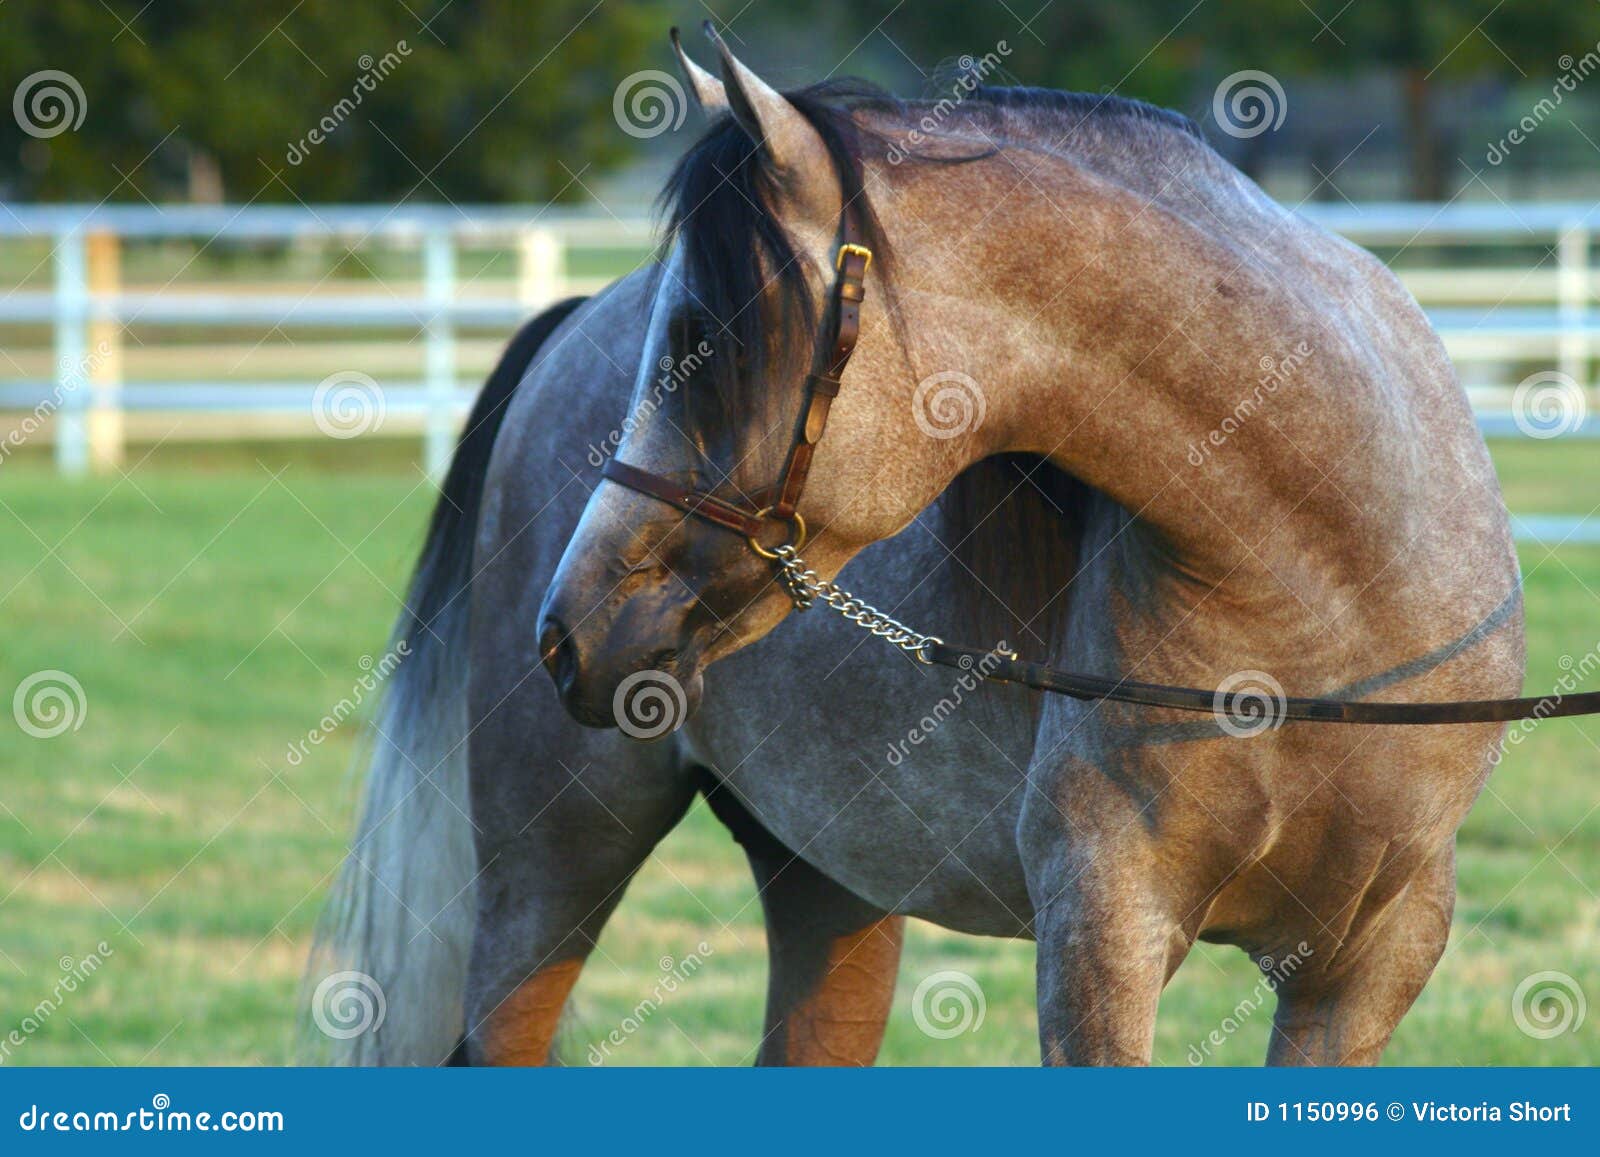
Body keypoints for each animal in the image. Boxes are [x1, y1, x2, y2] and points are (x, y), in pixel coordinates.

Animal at [308, 29, 1523, 1066]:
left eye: (707, 336)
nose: (570, 630)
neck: (1328, 585)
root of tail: (565, 320)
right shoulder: (1104, 930)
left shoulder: (1371, 958)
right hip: (553, 858)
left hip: (824, 878)